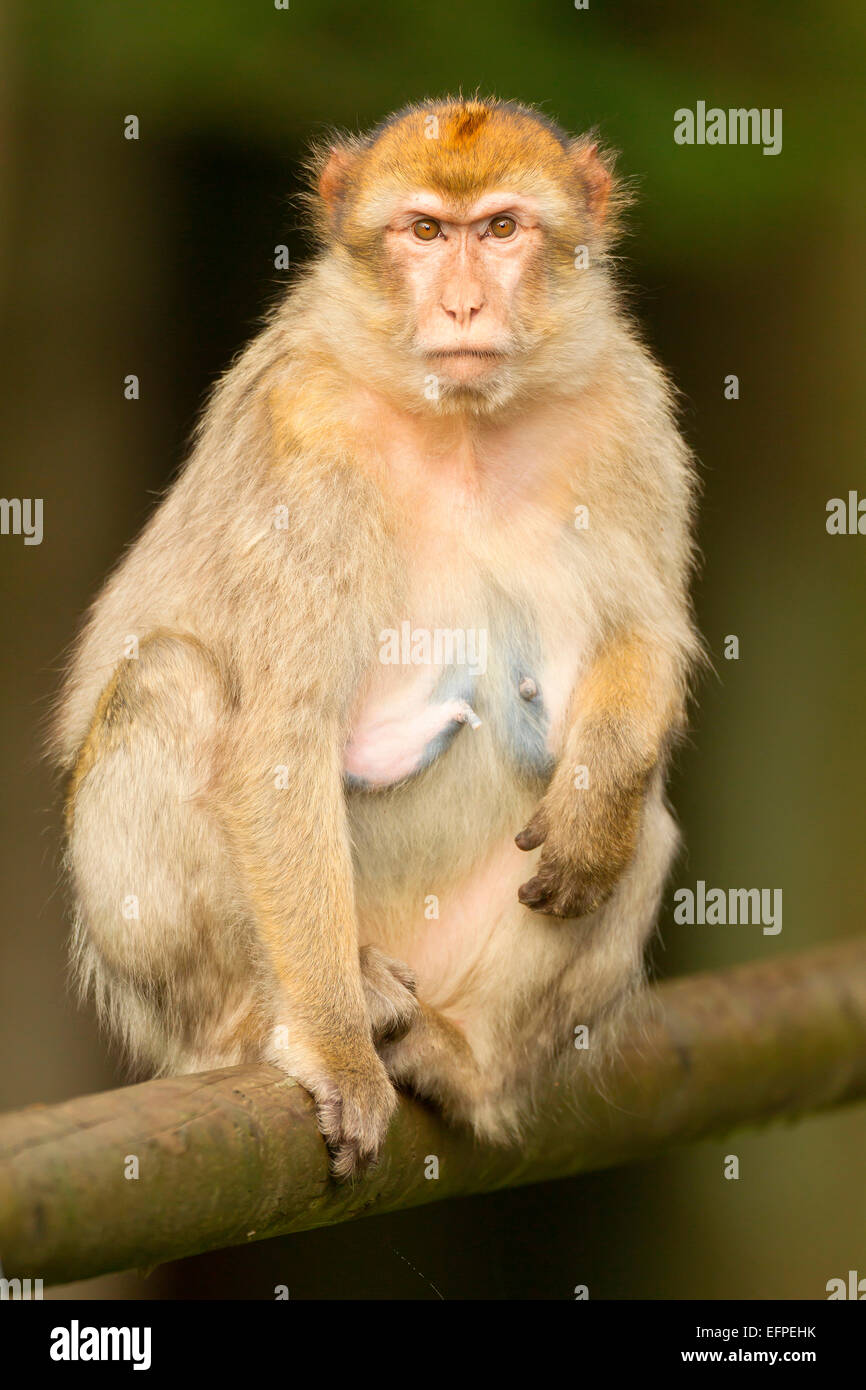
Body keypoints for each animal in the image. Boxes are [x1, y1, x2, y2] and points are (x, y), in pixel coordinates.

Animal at [51, 97, 702, 1179]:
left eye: (501, 229)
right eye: (425, 233)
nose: (465, 307)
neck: (463, 424)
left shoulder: (625, 406)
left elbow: (644, 635)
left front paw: (597, 797)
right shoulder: (302, 436)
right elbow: (280, 736)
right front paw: (333, 1052)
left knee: (637, 817)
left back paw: (462, 1059)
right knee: (170, 682)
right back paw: (300, 1011)